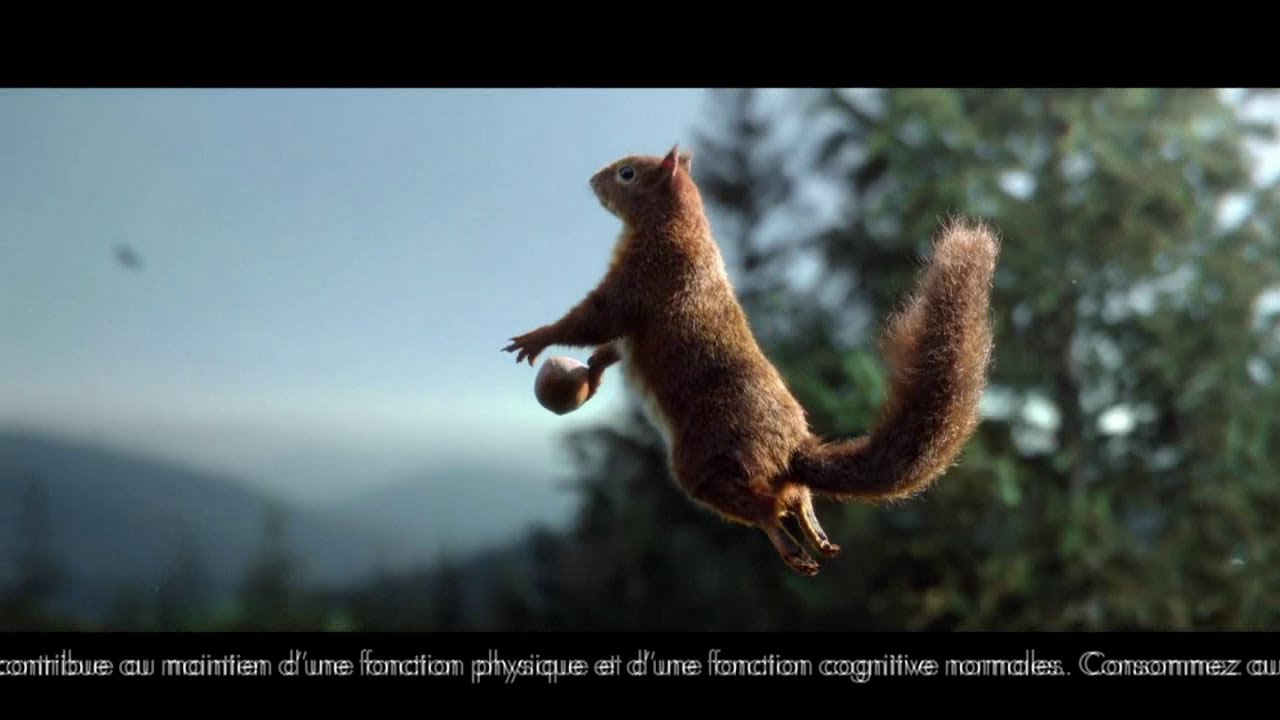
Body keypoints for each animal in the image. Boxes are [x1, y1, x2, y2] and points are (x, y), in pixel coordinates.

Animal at [503, 145, 998, 576]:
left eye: (627, 173)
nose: (593, 179)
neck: (678, 225)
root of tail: (792, 448)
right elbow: (608, 347)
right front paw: (591, 373)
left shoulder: (643, 278)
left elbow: (593, 318)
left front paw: (536, 339)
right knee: (795, 496)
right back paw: (815, 535)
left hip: (707, 463)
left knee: (764, 506)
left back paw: (790, 545)